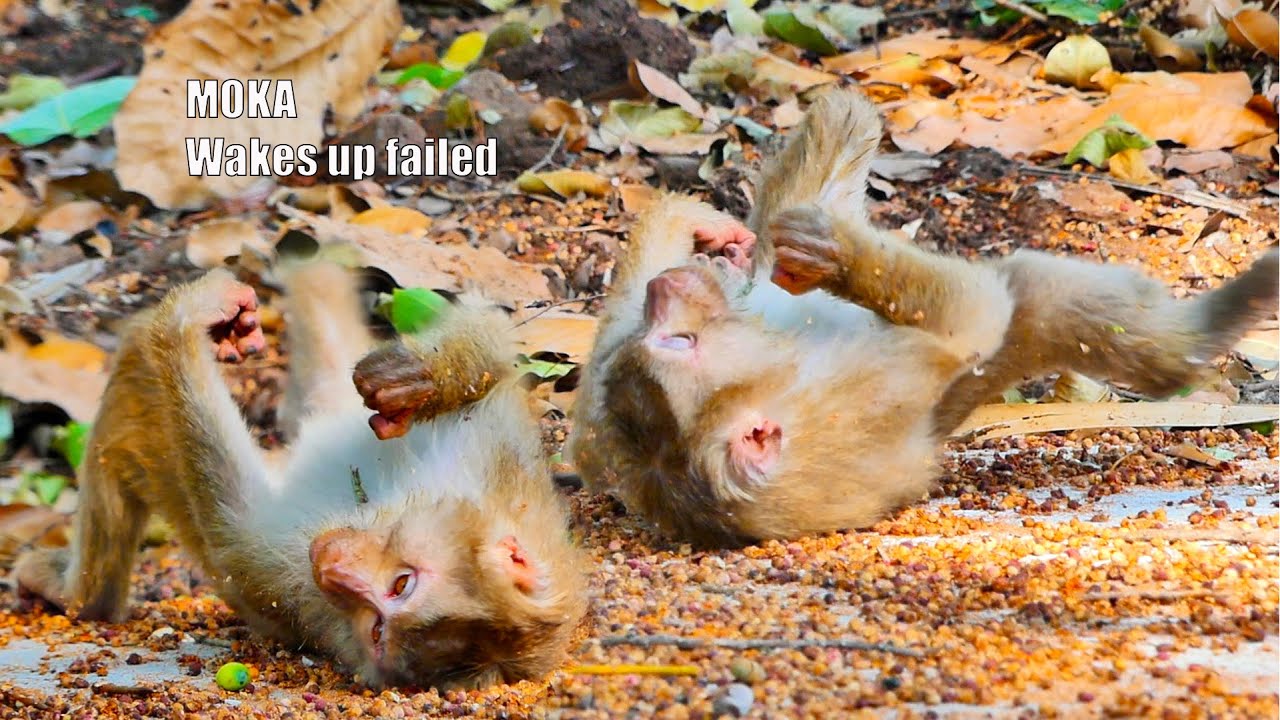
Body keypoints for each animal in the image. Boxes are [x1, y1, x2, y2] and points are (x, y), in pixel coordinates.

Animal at [12, 261, 588, 689]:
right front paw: (426, 376)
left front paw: (180, 323)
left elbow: (232, 530)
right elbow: (497, 350)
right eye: (404, 581)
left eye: (377, 627)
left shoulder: (297, 592)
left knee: (134, 400)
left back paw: (80, 596)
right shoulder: (498, 456)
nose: (331, 569)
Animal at [568, 88, 1280, 548]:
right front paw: (836, 255)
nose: (667, 288)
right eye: (679, 341)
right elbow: (973, 321)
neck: (775, 376)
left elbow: (588, 431)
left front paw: (711, 230)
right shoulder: (853, 398)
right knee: (1038, 299)